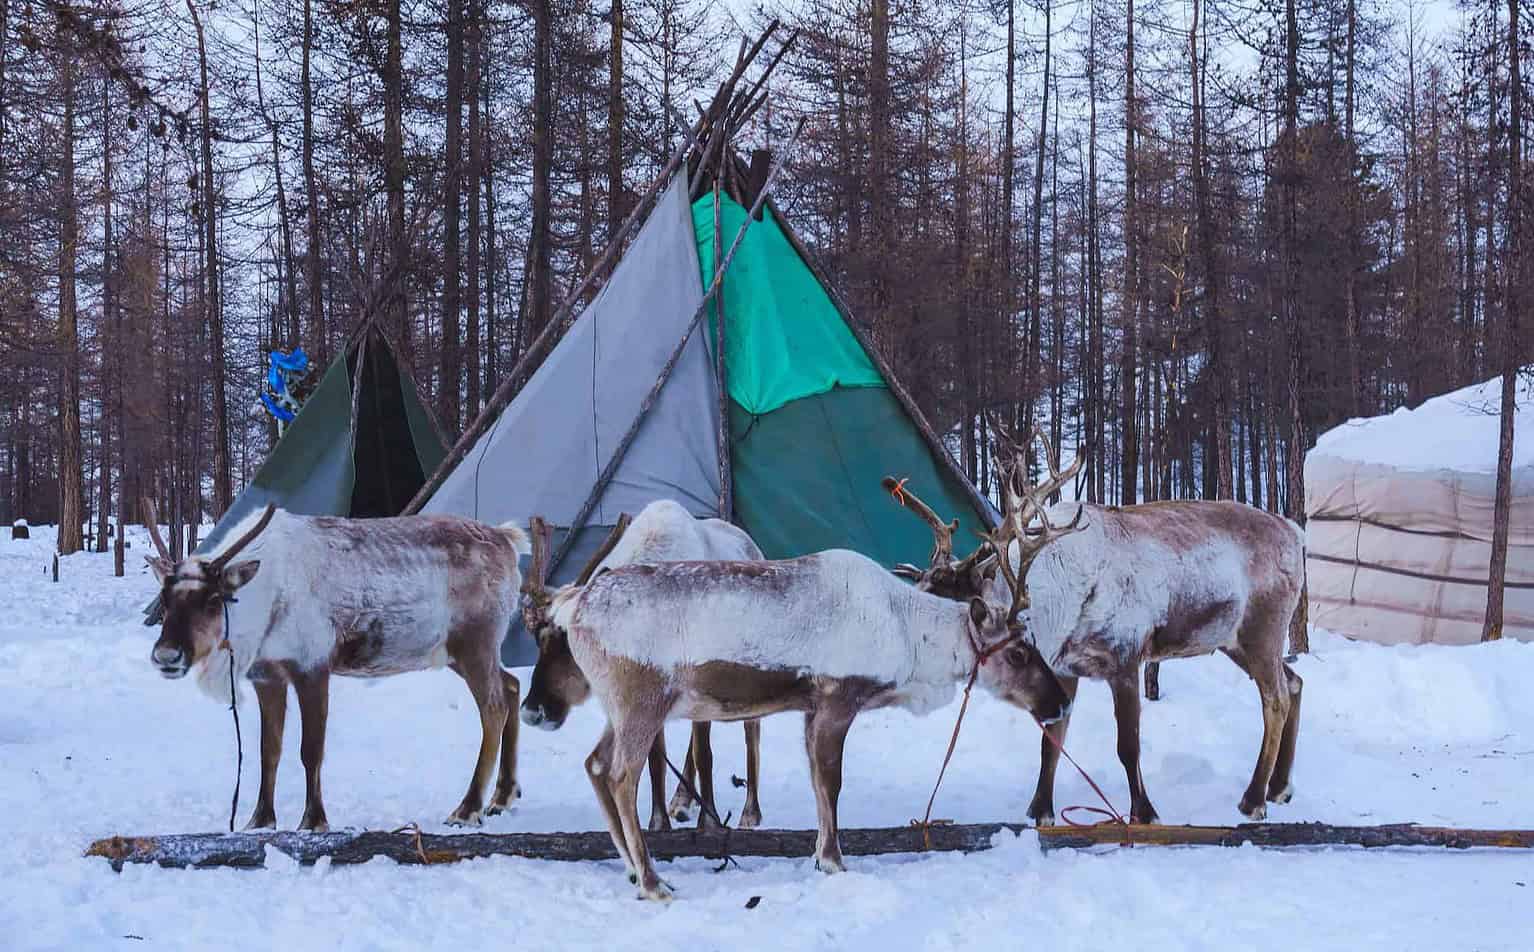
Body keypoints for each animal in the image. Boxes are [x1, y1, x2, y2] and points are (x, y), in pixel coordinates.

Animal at [143, 501, 530, 831]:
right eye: (164, 598)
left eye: (212, 599)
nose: (166, 656)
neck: (263, 603)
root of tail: (508, 542)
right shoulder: (267, 675)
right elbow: (269, 751)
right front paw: (259, 821)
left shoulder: (312, 666)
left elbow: (310, 751)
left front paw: (313, 821)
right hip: (459, 653)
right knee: (512, 686)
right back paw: (502, 796)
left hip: (476, 643)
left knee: (494, 708)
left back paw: (468, 808)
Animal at [519, 499, 766, 831]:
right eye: (537, 640)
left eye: (571, 641)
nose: (532, 712)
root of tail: (752, 545)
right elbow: (655, 759)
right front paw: (659, 820)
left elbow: (704, 754)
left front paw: (710, 822)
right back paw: (681, 801)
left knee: (752, 729)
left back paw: (750, 812)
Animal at [548, 521, 1074, 901]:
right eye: (1018, 653)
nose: (1060, 703)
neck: (907, 634)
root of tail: (573, 608)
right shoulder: (839, 699)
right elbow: (831, 782)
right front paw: (834, 860)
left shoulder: (809, 708)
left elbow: (818, 784)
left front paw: (821, 855)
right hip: (642, 703)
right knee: (620, 776)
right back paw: (653, 882)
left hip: (618, 710)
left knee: (594, 764)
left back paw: (632, 871)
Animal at [886, 423, 1306, 826]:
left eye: (943, 603)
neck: (1053, 606)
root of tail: (1294, 532)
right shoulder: (1063, 667)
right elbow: (1051, 743)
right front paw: (1040, 810)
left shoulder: (1125, 659)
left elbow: (1128, 746)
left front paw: (1144, 813)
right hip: (1231, 640)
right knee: (1294, 682)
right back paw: (1279, 788)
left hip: (1263, 628)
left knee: (1276, 699)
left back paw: (1253, 799)